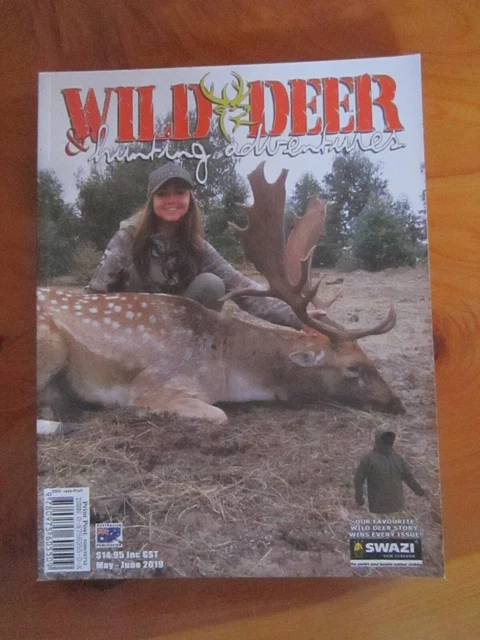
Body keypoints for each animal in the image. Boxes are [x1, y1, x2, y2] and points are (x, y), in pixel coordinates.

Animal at [37, 163, 404, 433]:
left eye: (369, 356)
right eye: (354, 368)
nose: (396, 402)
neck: (224, 368)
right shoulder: (153, 383)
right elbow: (219, 415)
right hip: (49, 344)